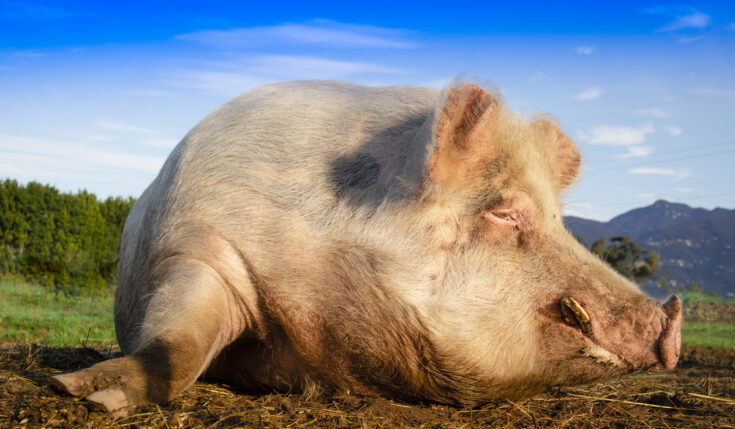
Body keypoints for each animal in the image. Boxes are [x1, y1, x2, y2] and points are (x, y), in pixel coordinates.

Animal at [51, 80, 682, 416]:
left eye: (559, 220)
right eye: (505, 211)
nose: (669, 319)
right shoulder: (197, 245)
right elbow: (175, 347)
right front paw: (84, 394)